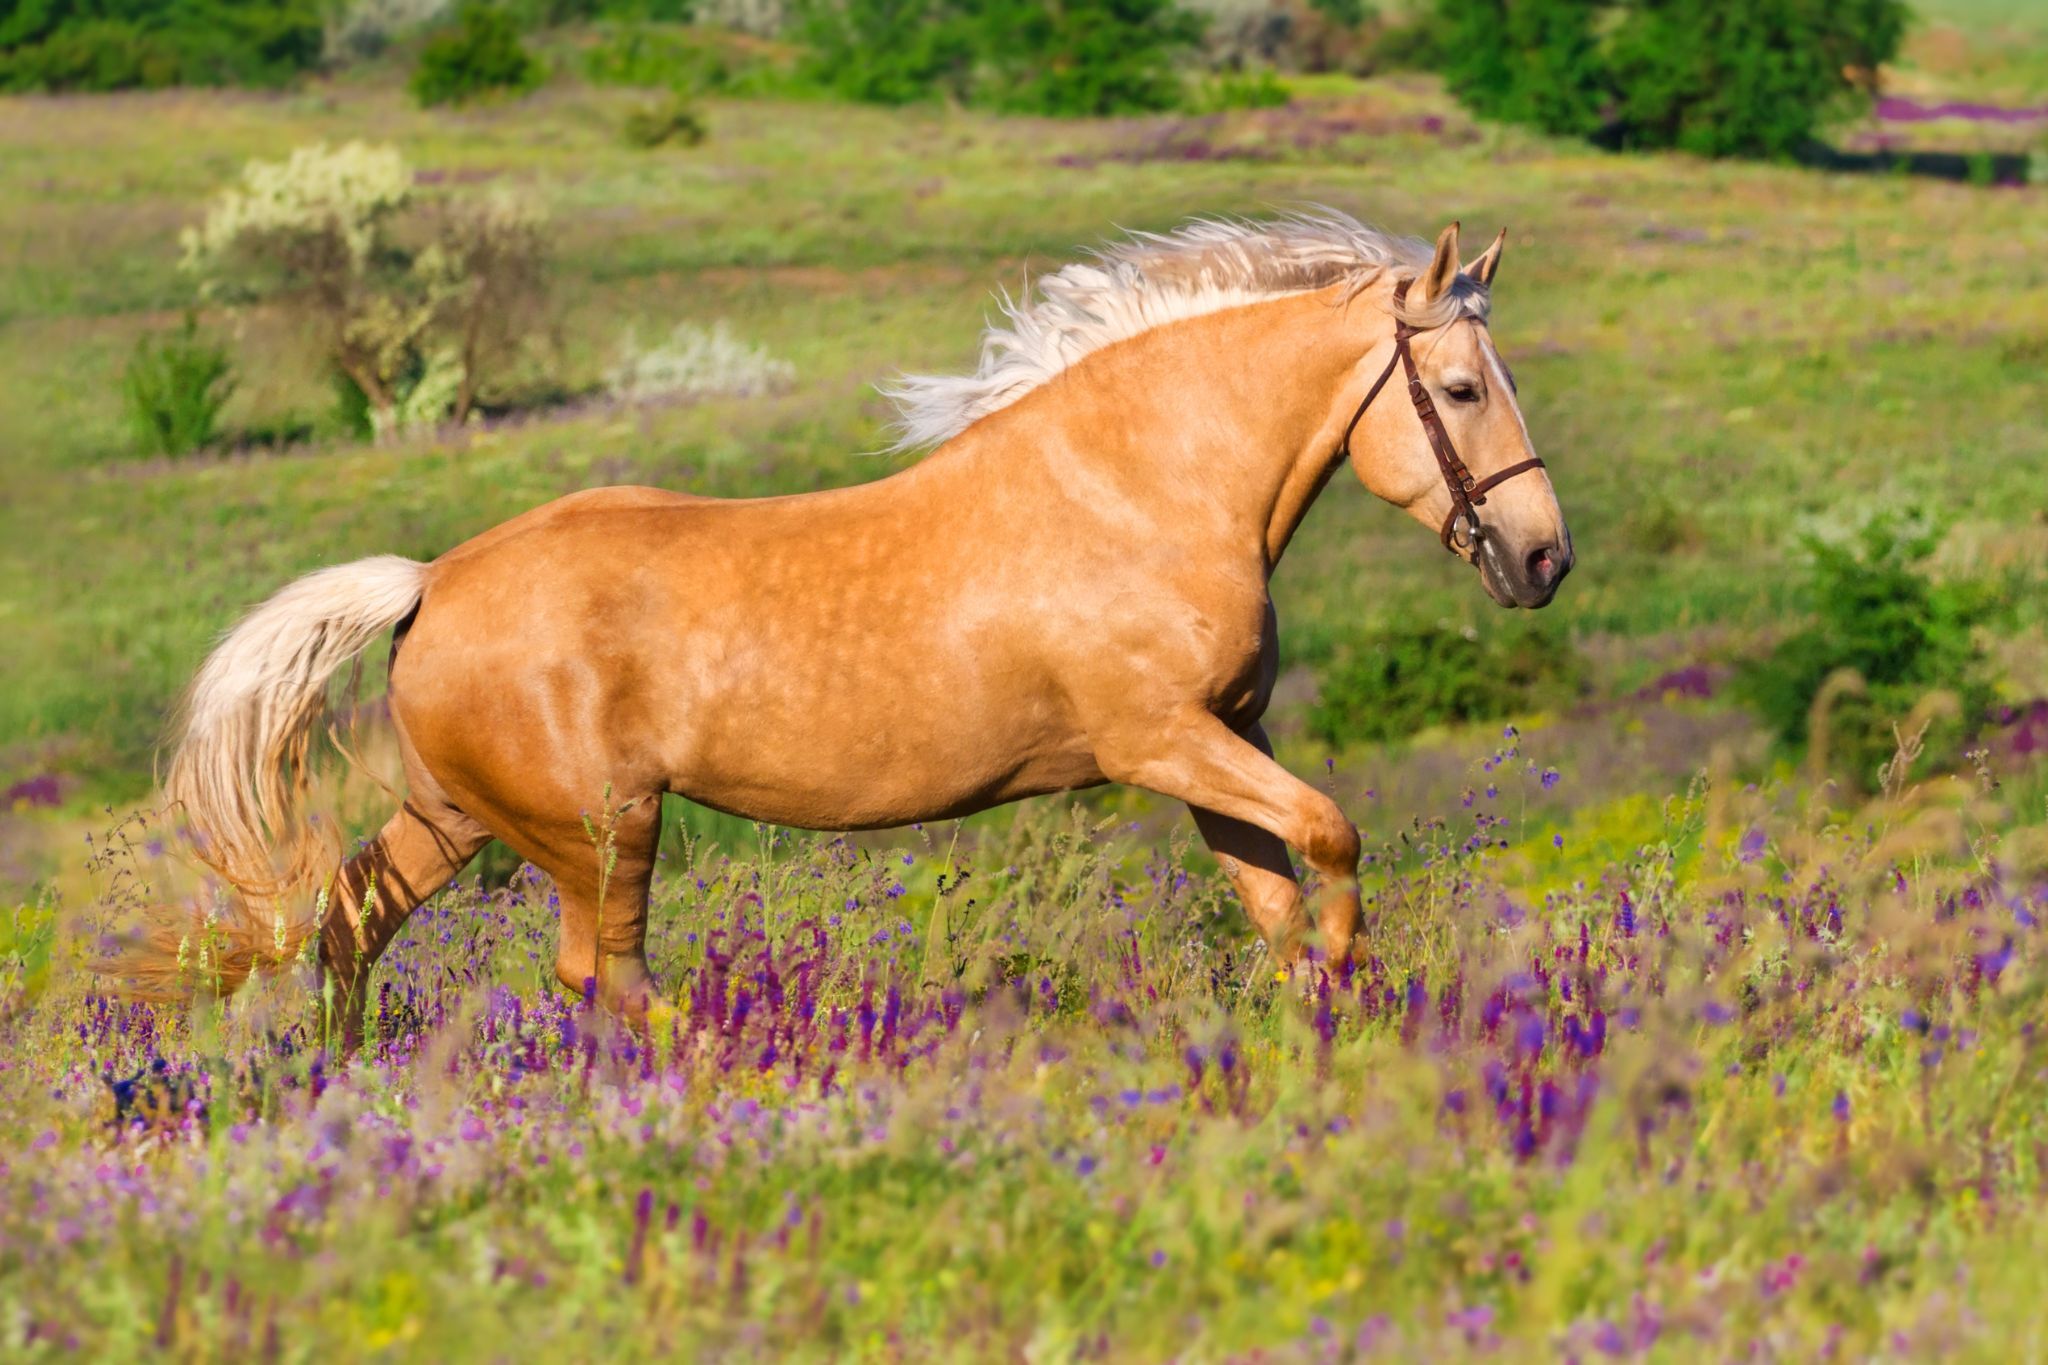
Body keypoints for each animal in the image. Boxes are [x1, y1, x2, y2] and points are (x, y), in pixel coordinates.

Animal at [121, 213, 1572, 1043]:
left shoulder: (1217, 744)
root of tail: (429, 581)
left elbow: (1274, 896)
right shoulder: (1157, 740)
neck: (1141, 487)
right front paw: (1349, 987)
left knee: (352, 925)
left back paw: (343, 1086)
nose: (1543, 558)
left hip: (466, 815)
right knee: (603, 975)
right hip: (602, 831)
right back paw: (728, 1074)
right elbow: (1330, 840)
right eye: (1457, 387)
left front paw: (1327, 1031)